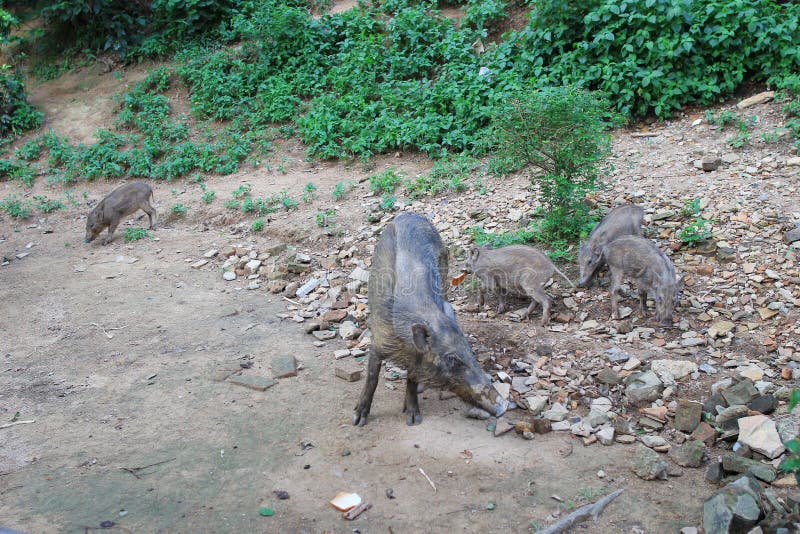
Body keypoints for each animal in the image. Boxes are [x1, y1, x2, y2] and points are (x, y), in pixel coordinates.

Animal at [352, 213, 508, 426]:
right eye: (451, 359)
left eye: (469, 351)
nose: (504, 406)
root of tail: (410, 214)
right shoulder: (378, 341)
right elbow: (371, 377)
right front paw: (358, 420)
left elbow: (411, 380)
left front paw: (413, 420)